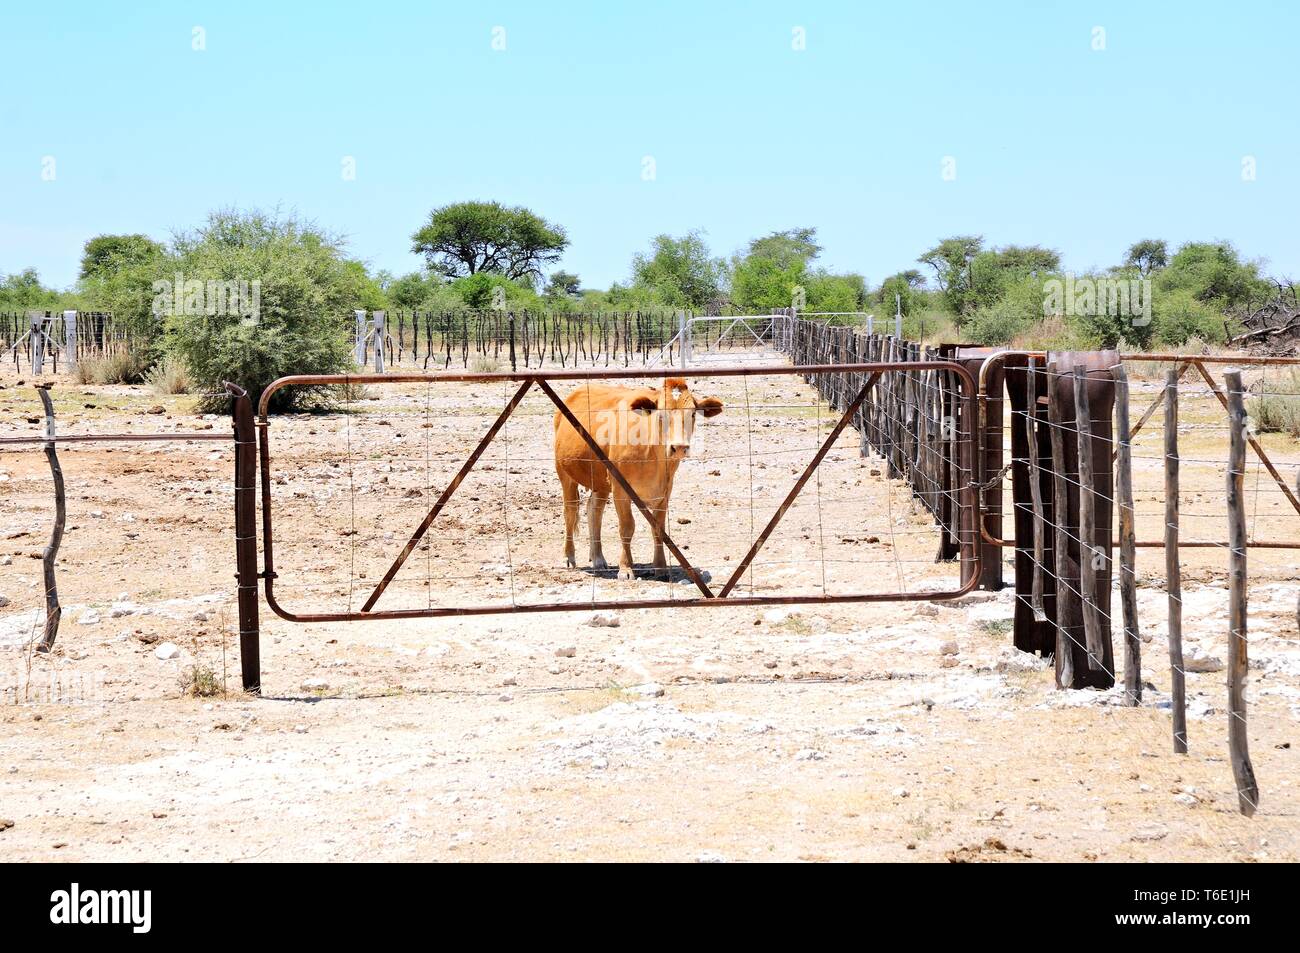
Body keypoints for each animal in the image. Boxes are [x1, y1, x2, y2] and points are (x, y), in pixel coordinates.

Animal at [553, 377, 723, 580]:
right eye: (661, 416)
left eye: (693, 415)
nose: (679, 447)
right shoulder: (620, 489)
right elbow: (627, 527)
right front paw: (626, 568)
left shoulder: (665, 490)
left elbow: (658, 528)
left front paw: (660, 567)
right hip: (565, 475)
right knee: (570, 513)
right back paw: (569, 557)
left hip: (601, 482)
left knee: (594, 511)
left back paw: (598, 559)